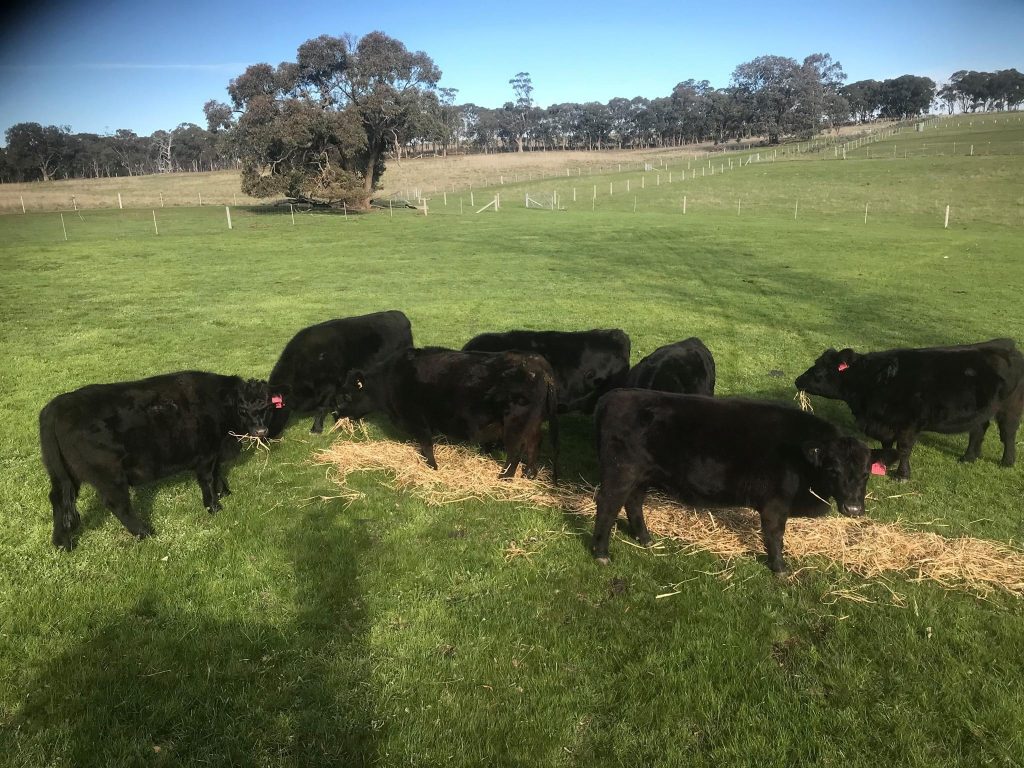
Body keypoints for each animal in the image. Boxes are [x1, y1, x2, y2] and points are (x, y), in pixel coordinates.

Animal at [40, 371, 279, 550]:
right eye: (243, 409)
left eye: (267, 407)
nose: (261, 431)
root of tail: (57, 405)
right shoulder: (205, 454)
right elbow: (208, 479)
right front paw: (213, 506)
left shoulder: (216, 452)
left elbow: (218, 472)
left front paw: (225, 493)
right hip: (109, 475)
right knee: (118, 504)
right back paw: (145, 532)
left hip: (64, 475)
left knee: (59, 499)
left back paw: (62, 543)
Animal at [267, 310, 413, 437]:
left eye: (268, 410)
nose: (265, 435)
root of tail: (398, 314)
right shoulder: (334, 386)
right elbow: (334, 404)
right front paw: (339, 419)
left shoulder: (328, 385)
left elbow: (321, 407)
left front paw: (316, 429)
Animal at [335, 347, 559, 481]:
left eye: (347, 395)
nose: (336, 411)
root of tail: (538, 364)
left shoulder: (419, 421)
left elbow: (427, 446)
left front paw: (432, 467)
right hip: (532, 423)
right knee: (534, 444)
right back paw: (530, 473)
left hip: (515, 423)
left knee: (516, 451)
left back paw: (504, 477)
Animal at [591, 389, 893, 574]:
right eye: (833, 470)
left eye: (866, 473)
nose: (854, 509)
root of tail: (616, 395)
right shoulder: (774, 504)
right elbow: (774, 534)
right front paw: (779, 568)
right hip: (621, 472)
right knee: (607, 506)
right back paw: (601, 552)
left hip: (642, 475)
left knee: (633, 502)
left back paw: (644, 538)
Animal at [795, 339, 1024, 480]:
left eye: (821, 370)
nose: (798, 380)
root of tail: (1006, 344)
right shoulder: (884, 423)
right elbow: (887, 444)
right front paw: (882, 464)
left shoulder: (908, 423)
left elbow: (904, 448)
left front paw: (901, 475)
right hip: (981, 411)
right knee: (978, 431)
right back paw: (968, 457)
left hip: (1011, 407)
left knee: (1008, 433)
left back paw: (1007, 461)